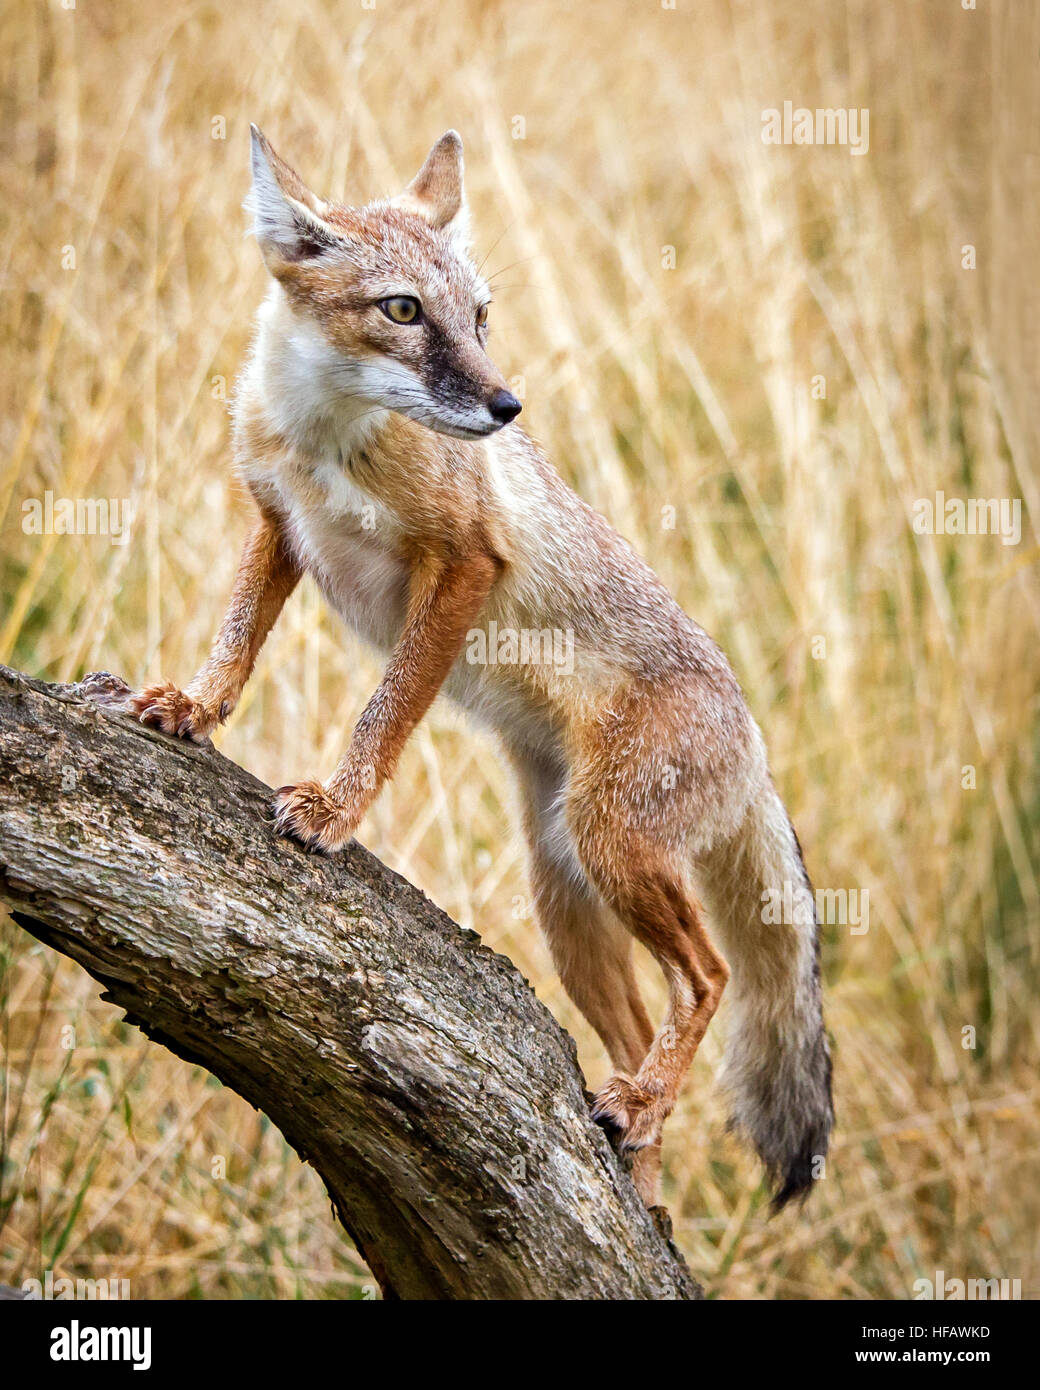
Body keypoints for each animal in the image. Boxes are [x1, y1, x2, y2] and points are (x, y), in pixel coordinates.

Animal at [131, 125, 832, 1210]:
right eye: (403, 310)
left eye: (480, 316)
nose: (507, 405)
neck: (326, 442)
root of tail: (756, 744)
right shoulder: (278, 523)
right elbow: (236, 636)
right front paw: (192, 707)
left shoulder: (462, 568)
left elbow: (384, 711)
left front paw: (336, 809)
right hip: (569, 895)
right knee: (646, 1022)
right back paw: (642, 1160)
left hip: (610, 847)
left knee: (710, 976)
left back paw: (639, 1111)